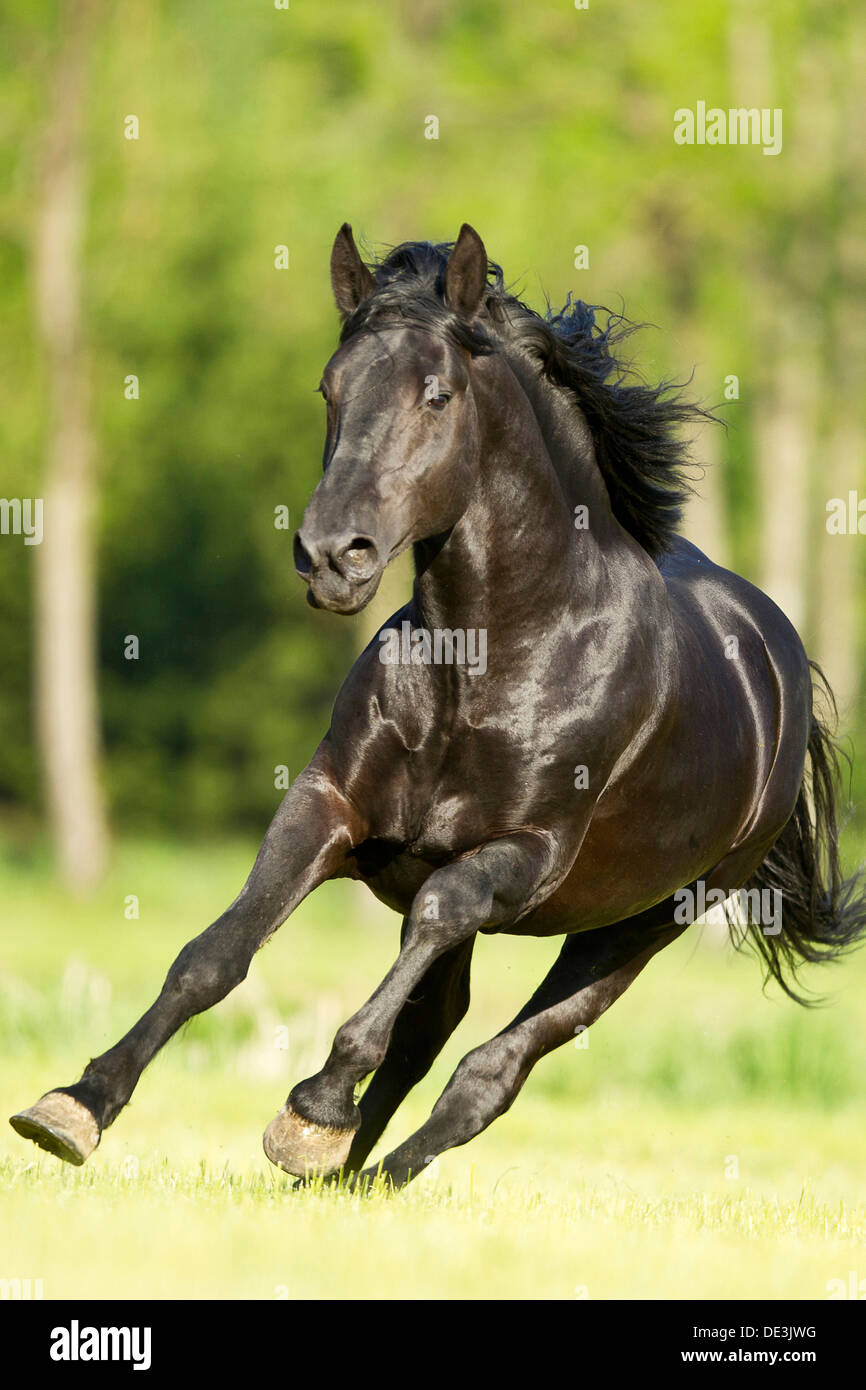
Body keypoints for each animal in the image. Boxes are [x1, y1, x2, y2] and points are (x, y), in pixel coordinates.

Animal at [11, 223, 866, 1188]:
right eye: (329, 388)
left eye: (438, 394)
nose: (331, 556)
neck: (485, 667)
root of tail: (776, 658)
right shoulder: (330, 804)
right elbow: (214, 956)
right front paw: (75, 1108)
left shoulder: (525, 856)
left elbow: (438, 921)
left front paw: (312, 1108)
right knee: (433, 1030)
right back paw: (342, 1175)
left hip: (643, 924)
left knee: (492, 1068)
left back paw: (365, 1169)